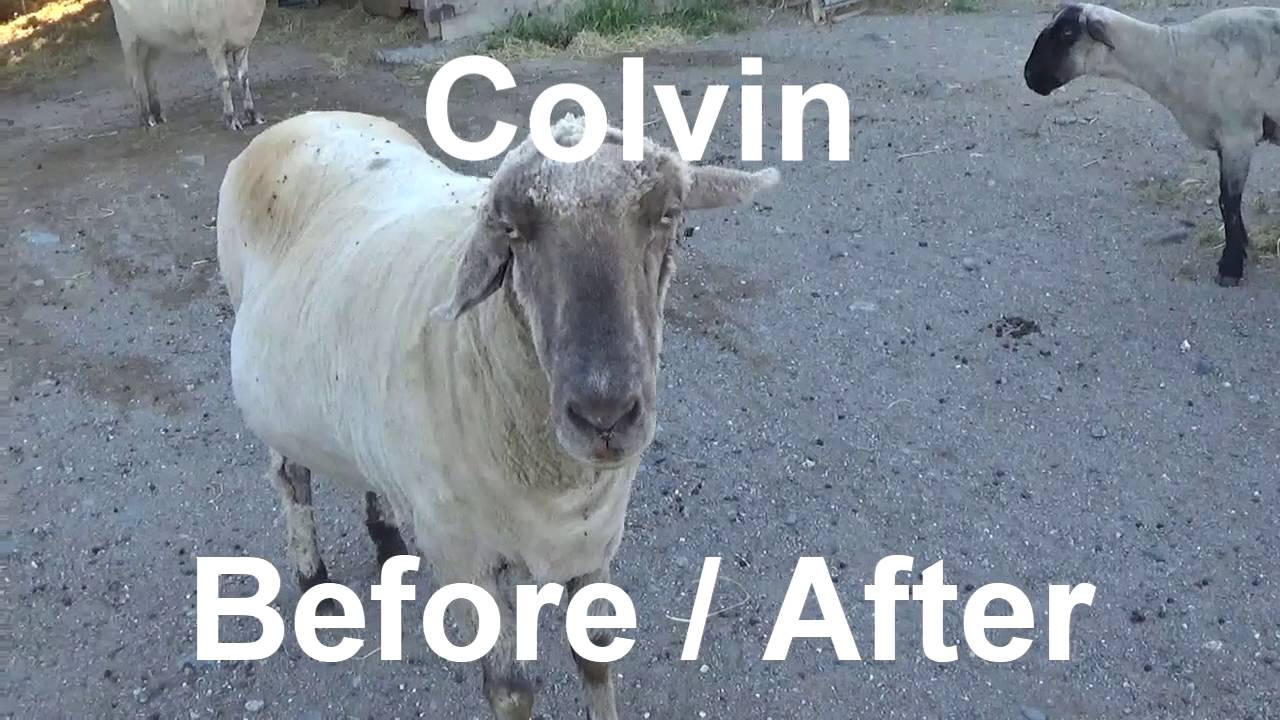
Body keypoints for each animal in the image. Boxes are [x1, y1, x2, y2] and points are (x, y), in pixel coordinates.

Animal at [106, 0, 268, 130]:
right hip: (128, 34)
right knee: (133, 77)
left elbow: (244, 78)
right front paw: (231, 119)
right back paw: (147, 118)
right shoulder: (213, 42)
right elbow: (225, 80)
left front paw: (253, 116)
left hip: (155, 38)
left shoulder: (242, 42)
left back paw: (158, 114)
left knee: (149, 70)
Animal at [216, 110, 779, 719]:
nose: (603, 415)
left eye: (669, 214)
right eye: (512, 230)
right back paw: (313, 578)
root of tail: (306, 119)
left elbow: (597, 655)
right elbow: (511, 691)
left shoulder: (594, 539)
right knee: (290, 476)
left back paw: (387, 539)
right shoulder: (470, 561)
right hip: (271, 398)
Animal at [1024, 3, 1280, 286]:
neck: (1174, 56)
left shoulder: (1238, 135)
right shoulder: (1224, 140)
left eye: (1067, 32)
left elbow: (1229, 202)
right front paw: (1242, 245)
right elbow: (1227, 202)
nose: (1029, 76)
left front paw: (1230, 266)